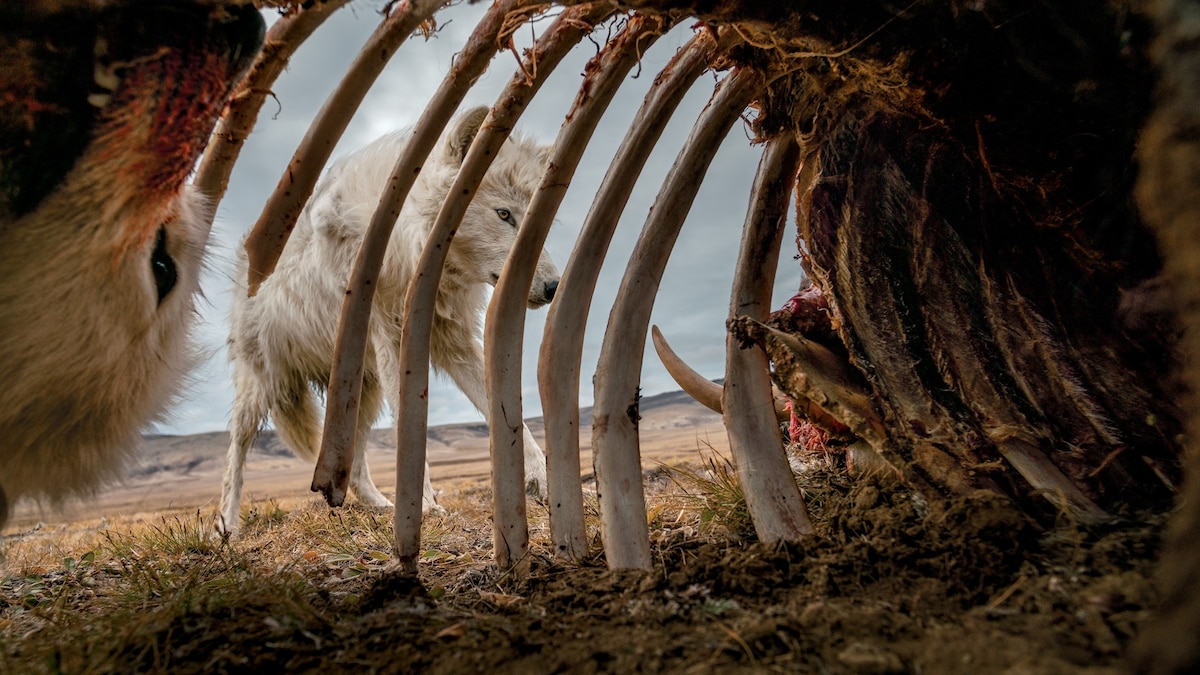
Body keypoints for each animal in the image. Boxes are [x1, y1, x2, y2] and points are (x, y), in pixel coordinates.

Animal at [219, 106, 560, 534]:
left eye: (537, 222)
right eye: (504, 214)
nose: (554, 286)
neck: (409, 250)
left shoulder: (452, 343)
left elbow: (510, 416)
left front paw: (542, 478)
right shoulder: (394, 340)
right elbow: (410, 429)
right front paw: (424, 508)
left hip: (363, 392)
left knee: (354, 466)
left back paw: (379, 506)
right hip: (261, 389)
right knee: (235, 455)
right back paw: (227, 525)